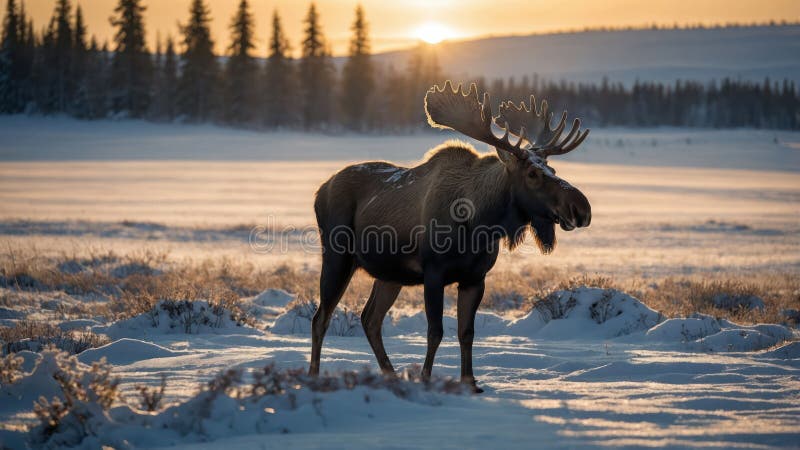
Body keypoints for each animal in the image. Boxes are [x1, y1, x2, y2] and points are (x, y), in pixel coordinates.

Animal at [309, 81, 591, 392]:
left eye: (552, 169)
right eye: (532, 174)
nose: (581, 207)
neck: (480, 224)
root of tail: (319, 191)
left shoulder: (475, 278)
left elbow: (466, 332)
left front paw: (470, 382)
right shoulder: (434, 272)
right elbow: (436, 331)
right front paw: (426, 378)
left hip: (390, 274)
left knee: (370, 319)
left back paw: (391, 376)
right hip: (338, 257)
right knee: (320, 318)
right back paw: (314, 376)